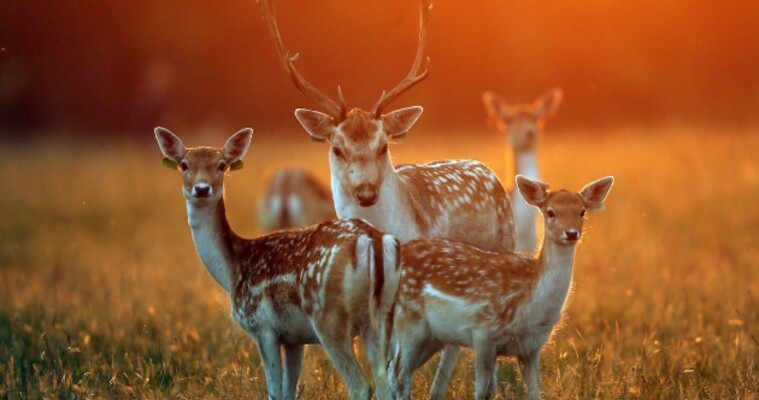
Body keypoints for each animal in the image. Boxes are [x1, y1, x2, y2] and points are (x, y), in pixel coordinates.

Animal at [154, 127, 401, 400]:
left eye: (221, 165)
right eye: (184, 165)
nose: (201, 188)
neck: (233, 269)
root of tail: (372, 241)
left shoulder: (262, 327)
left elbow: (273, 390)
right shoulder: (293, 337)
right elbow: (288, 390)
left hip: (329, 316)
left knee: (361, 384)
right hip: (381, 319)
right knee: (385, 383)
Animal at [386, 175, 614, 400]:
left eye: (582, 211)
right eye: (551, 212)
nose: (572, 233)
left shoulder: (531, 347)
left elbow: (535, 392)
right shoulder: (483, 333)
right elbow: (482, 391)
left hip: (430, 337)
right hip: (408, 322)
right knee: (399, 376)